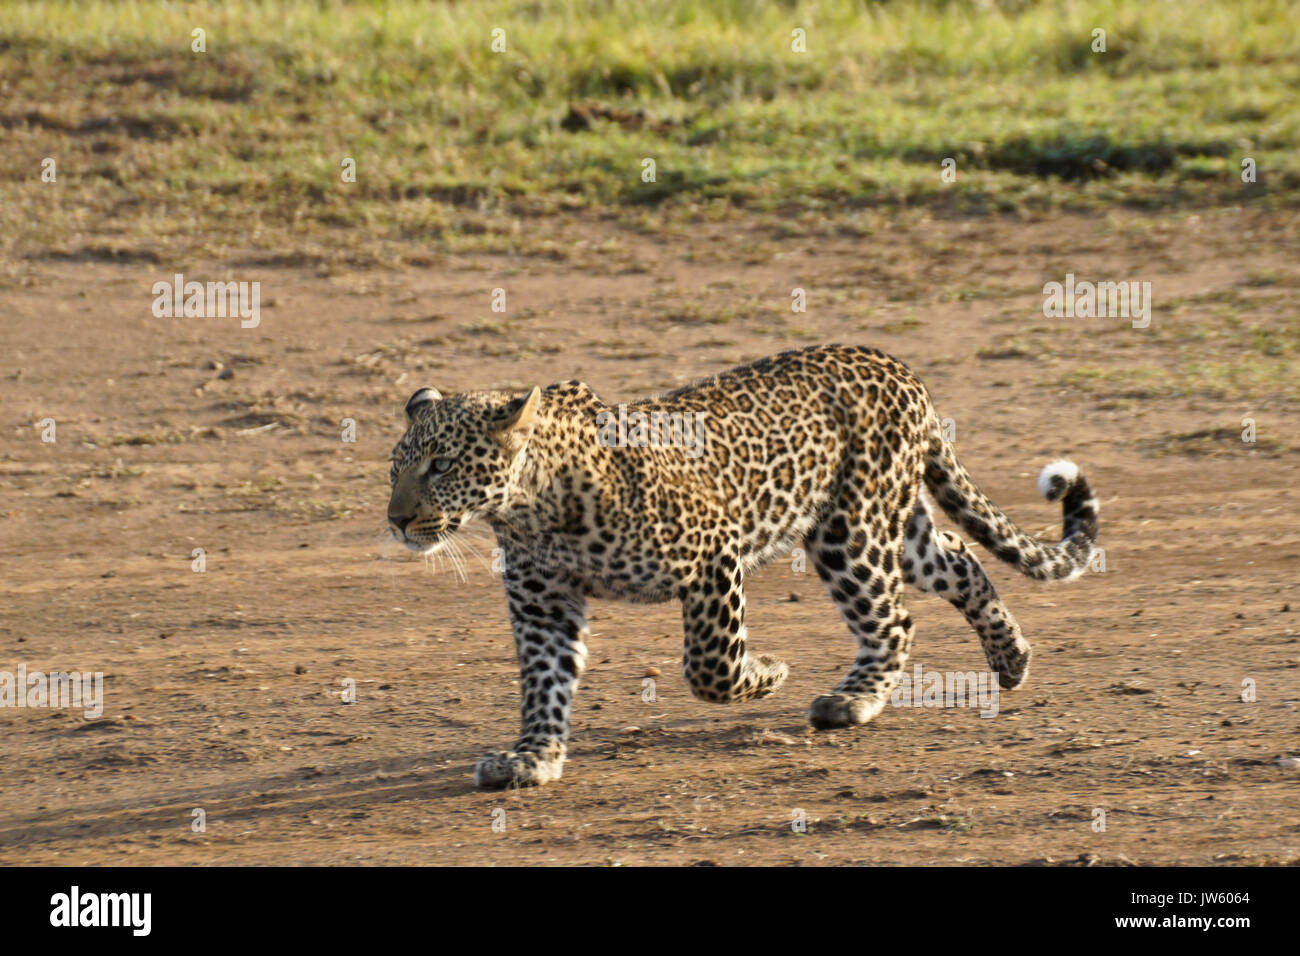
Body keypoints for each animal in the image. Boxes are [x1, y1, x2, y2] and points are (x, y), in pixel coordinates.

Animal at [386, 343, 1100, 789]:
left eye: (442, 466)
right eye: (396, 468)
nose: (396, 520)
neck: (530, 506)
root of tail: (896, 366)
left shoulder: (711, 554)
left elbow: (710, 666)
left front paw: (768, 672)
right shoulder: (543, 604)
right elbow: (544, 685)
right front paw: (532, 758)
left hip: (849, 531)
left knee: (894, 618)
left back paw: (854, 700)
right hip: (892, 526)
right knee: (961, 561)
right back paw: (1010, 658)